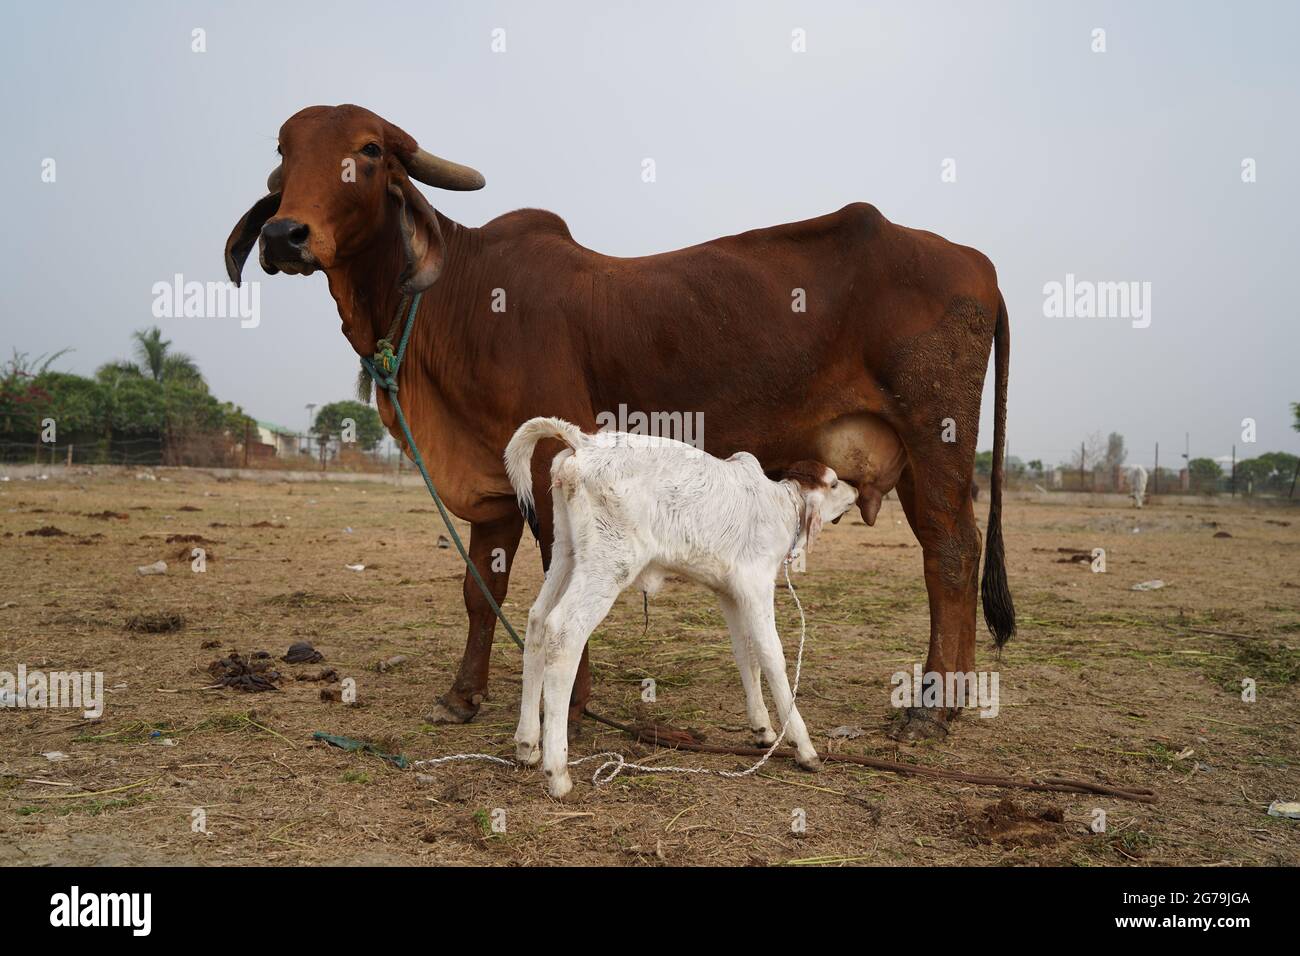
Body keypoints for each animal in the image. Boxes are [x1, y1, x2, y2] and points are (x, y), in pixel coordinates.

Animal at [224, 104, 1015, 742]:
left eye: (369, 150)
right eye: (286, 150)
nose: (286, 234)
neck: (457, 299)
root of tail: (977, 263)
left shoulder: (550, 469)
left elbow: (557, 586)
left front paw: (570, 709)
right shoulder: (494, 482)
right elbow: (481, 593)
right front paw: (461, 696)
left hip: (935, 436)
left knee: (950, 554)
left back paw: (935, 709)